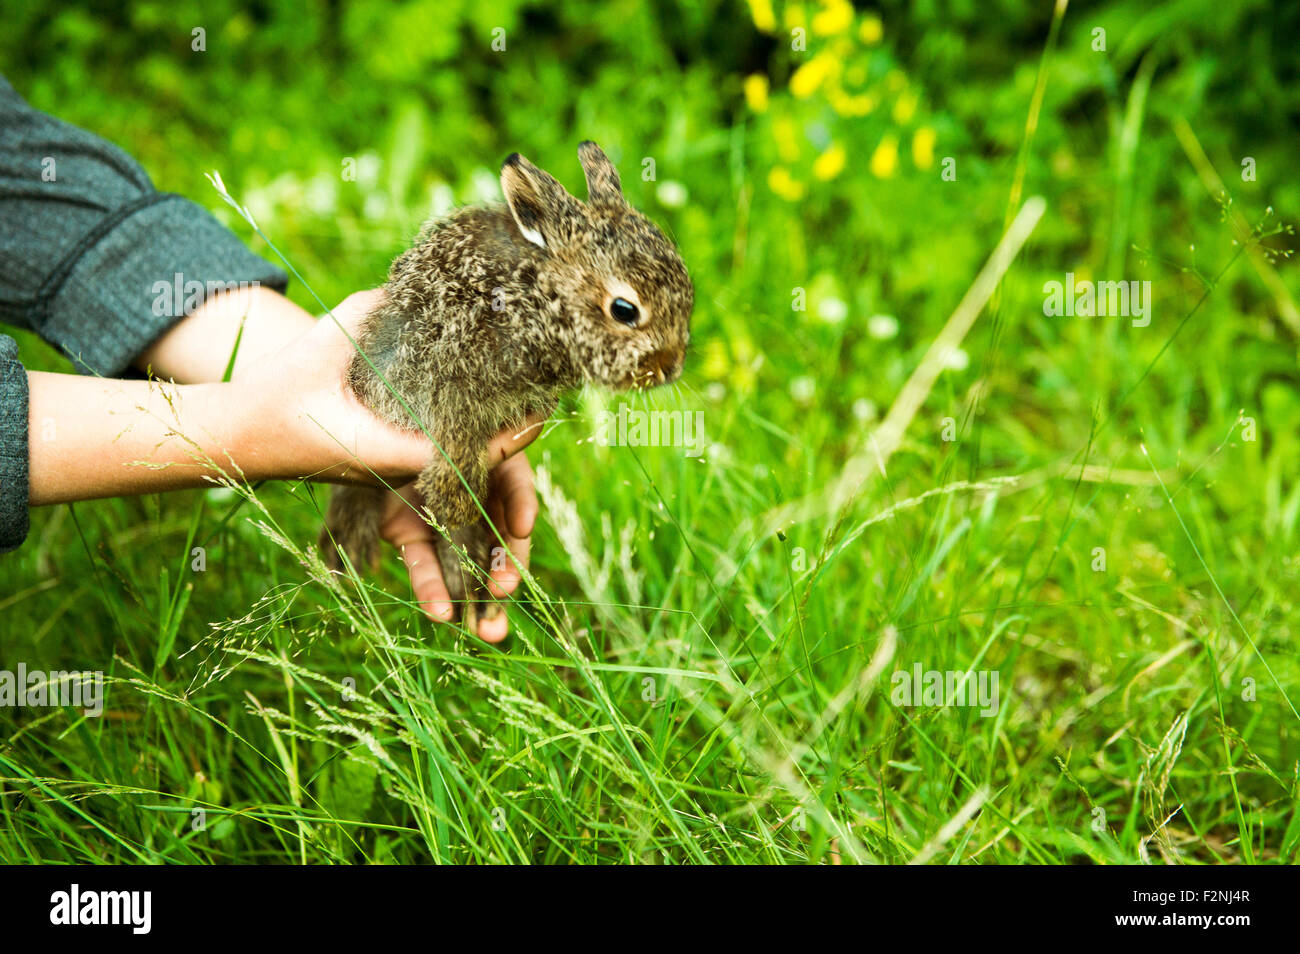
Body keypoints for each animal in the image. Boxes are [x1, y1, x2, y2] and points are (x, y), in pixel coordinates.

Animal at [319, 141, 694, 634]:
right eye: (624, 310)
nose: (670, 366)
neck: (543, 301)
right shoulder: (450, 375)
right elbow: (455, 453)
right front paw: (455, 510)